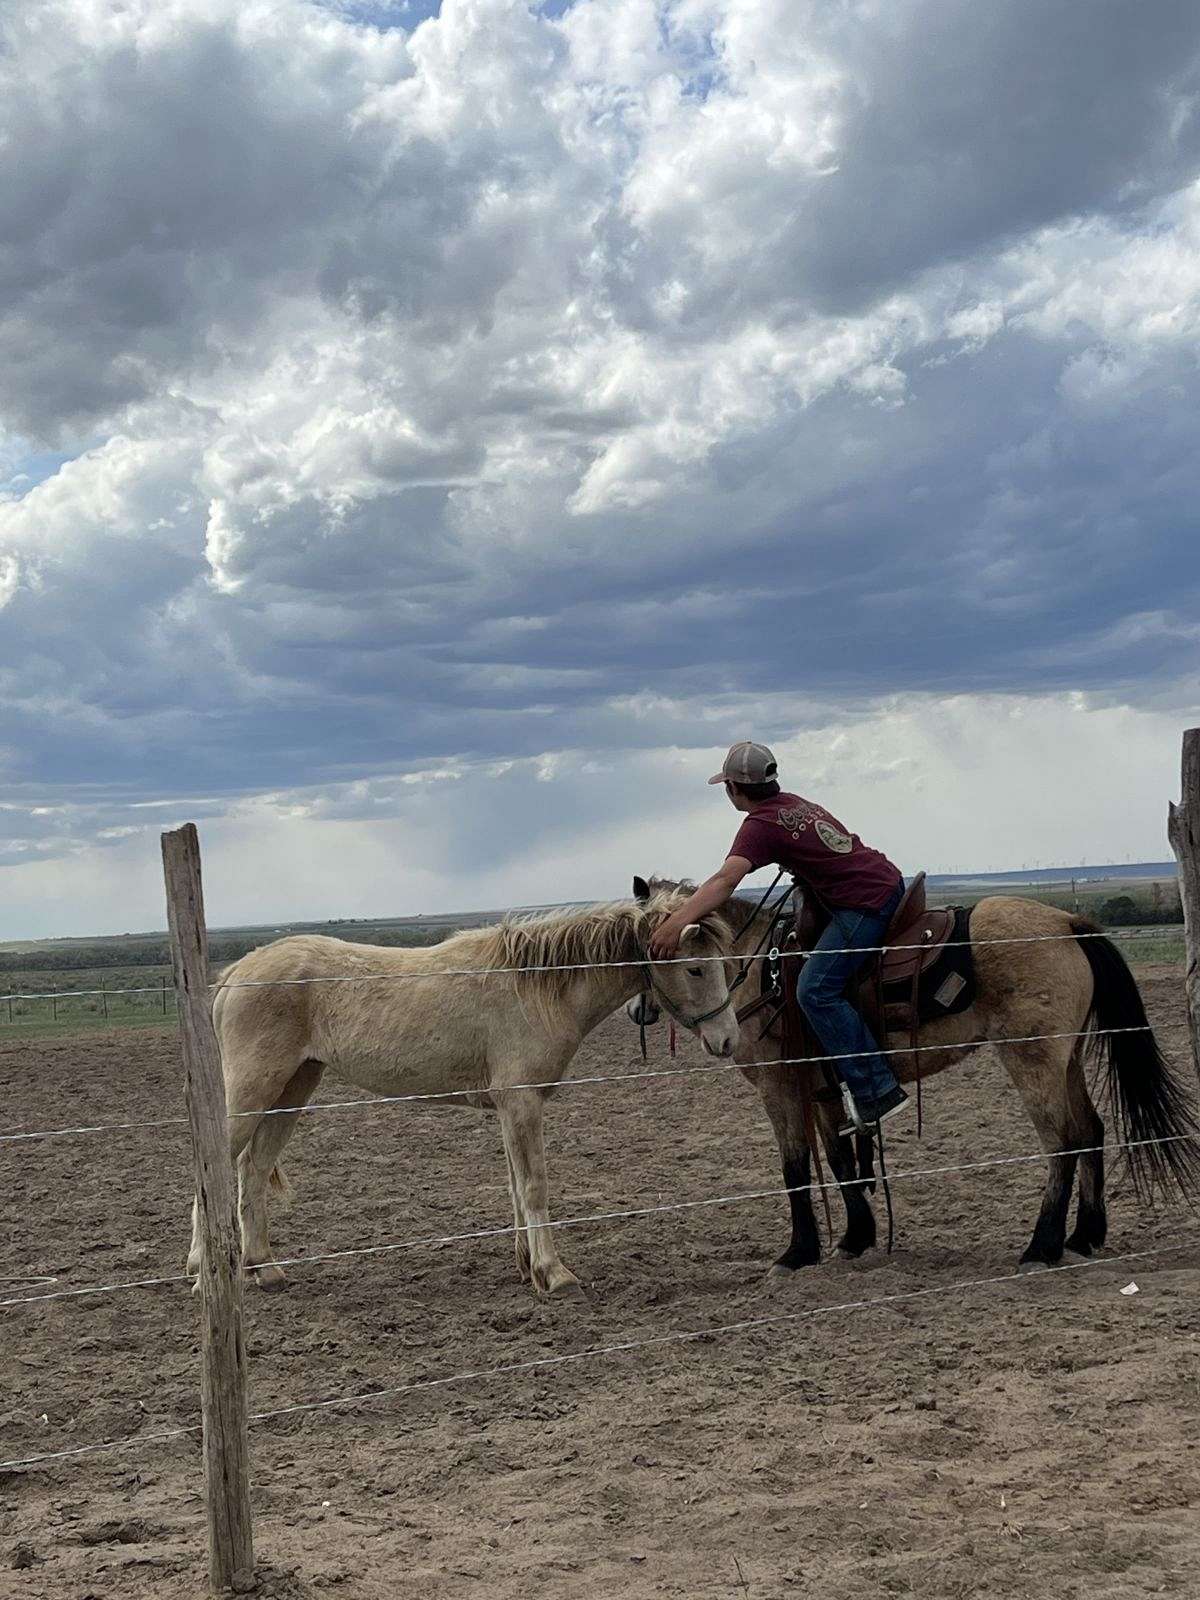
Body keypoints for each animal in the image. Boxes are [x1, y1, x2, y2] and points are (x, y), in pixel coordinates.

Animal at [191, 884, 739, 1298]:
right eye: (695, 968)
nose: (727, 1039)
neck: (535, 988)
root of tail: (236, 972)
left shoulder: (509, 1109)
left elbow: (516, 1187)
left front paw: (528, 1266)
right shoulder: (521, 1103)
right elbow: (534, 1186)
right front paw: (555, 1274)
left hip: (292, 1090)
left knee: (253, 1169)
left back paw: (263, 1267)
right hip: (252, 1094)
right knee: (217, 1171)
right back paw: (202, 1271)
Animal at [632, 878, 1198, 1275]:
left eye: (653, 958)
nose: (637, 1012)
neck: (759, 968)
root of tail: (1066, 922)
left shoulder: (779, 1087)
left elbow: (796, 1169)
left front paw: (797, 1254)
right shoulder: (824, 1090)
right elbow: (841, 1161)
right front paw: (855, 1239)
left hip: (1032, 1060)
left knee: (1063, 1142)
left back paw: (1042, 1247)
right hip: (1068, 1059)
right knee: (1091, 1131)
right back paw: (1084, 1237)